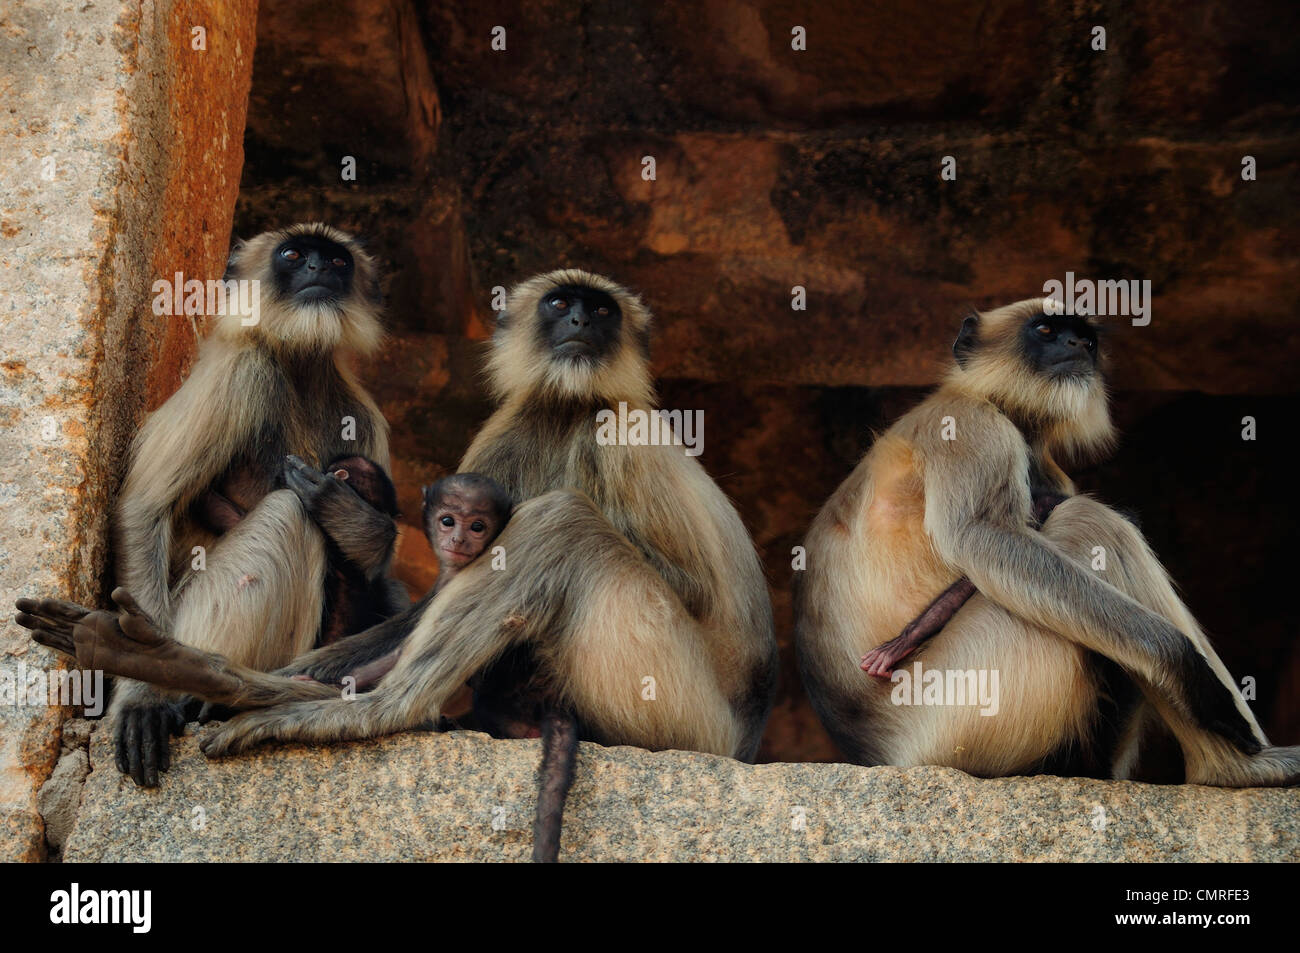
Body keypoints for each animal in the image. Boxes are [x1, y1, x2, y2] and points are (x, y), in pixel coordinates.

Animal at [14, 223, 405, 787]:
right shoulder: (240, 370)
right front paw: (143, 685)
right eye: (294, 254)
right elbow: (144, 508)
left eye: (336, 261)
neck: (297, 363)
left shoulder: (365, 415)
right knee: (288, 513)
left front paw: (353, 517)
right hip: (192, 619)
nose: (317, 270)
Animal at [795, 298, 1300, 787]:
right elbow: (983, 539)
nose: (1076, 346)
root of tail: (875, 753)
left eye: (1087, 339)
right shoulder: (967, 424)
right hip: (958, 704)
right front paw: (1183, 665)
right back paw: (1233, 769)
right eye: (1045, 330)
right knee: (1090, 524)